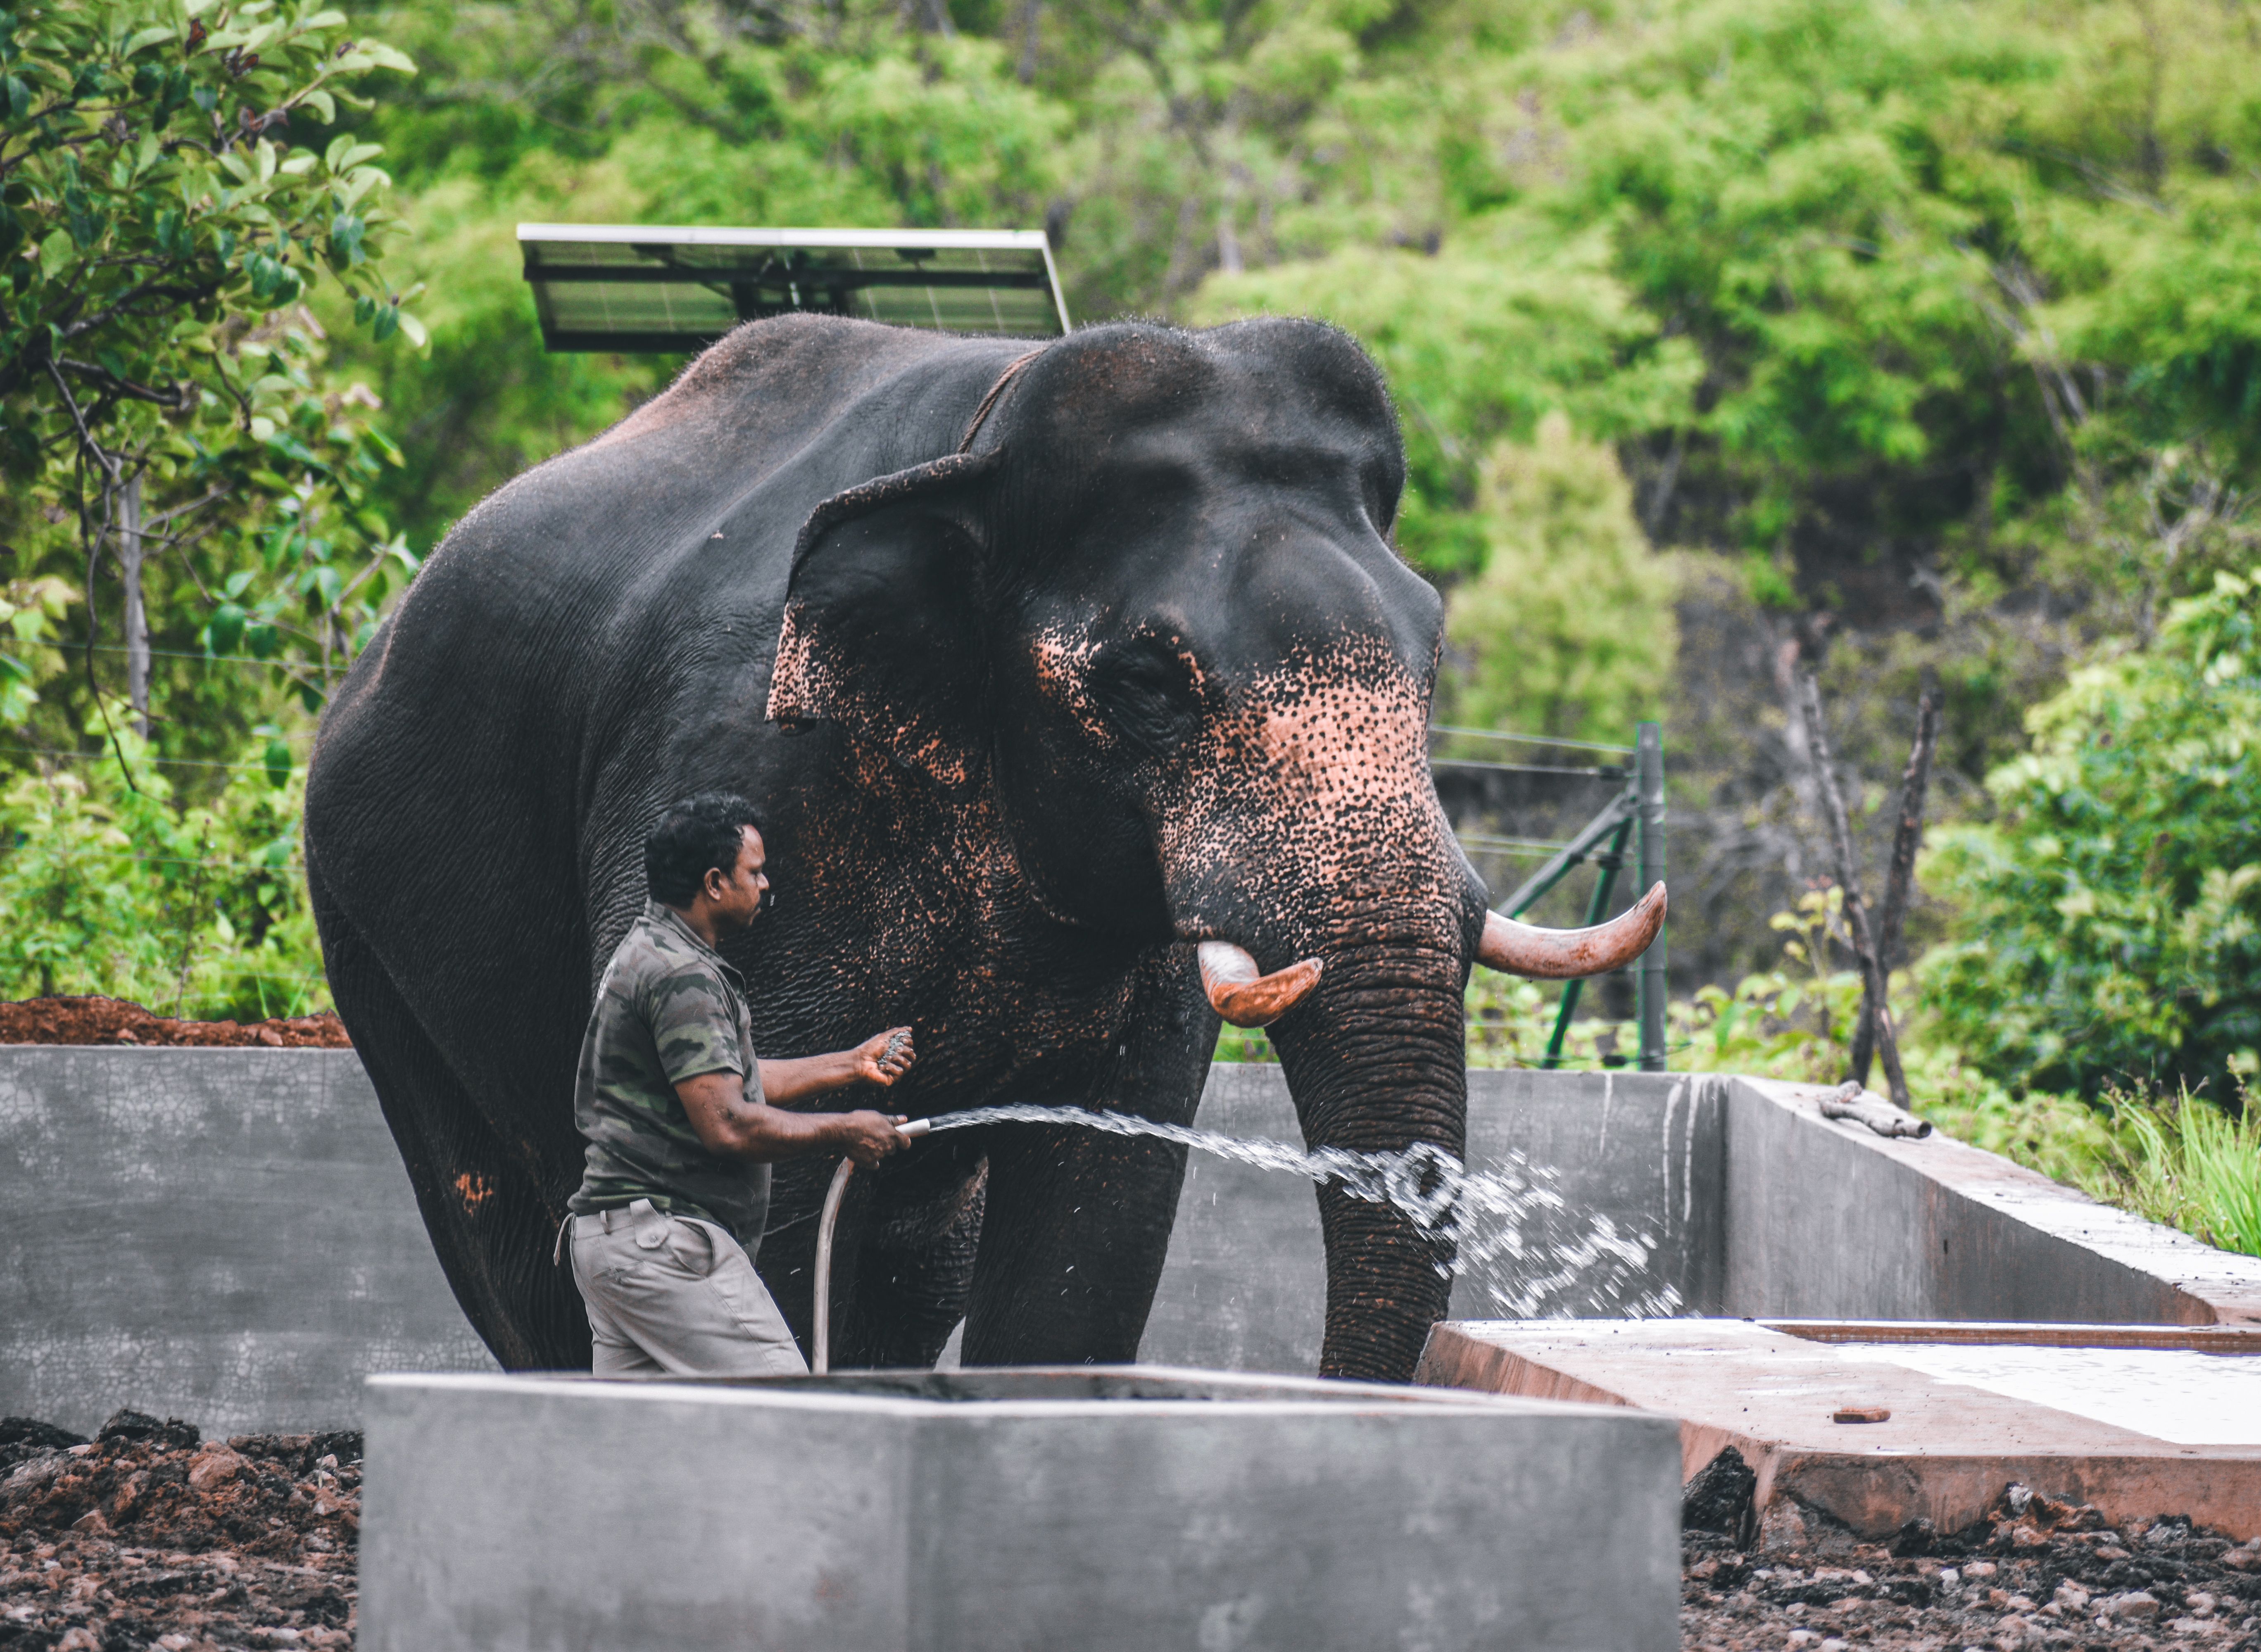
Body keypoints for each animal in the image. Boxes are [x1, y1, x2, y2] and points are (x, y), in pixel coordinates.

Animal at [304, 313, 1661, 1383]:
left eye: (1430, 650)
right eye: (1149, 681)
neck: (985, 438)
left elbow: (1098, 1206)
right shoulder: (745, 779)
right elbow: (772, 1178)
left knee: (916, 1259)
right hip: (368, 927)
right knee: (509, 1238)